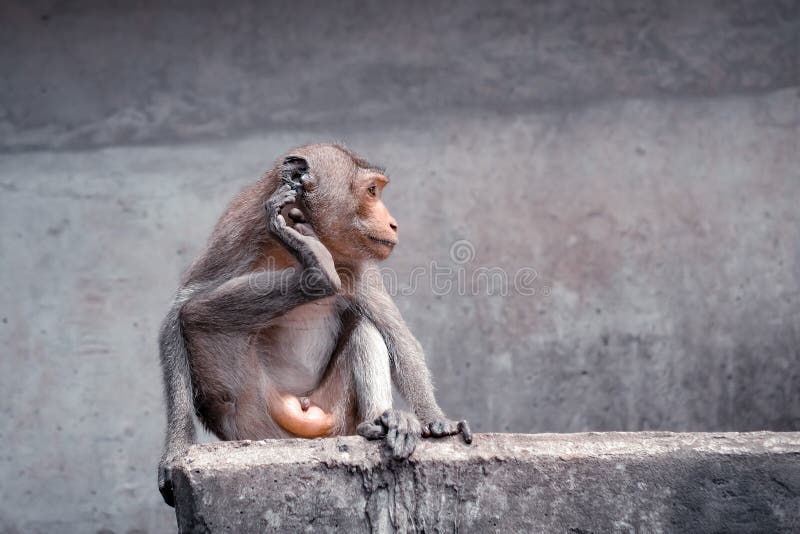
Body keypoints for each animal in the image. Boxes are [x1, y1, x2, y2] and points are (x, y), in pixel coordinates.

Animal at [157, 143, 471, 507]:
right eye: (372, 191)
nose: (393, 224)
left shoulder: (357, 263)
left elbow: (398, 337)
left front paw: (435, 420)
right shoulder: (240, 228)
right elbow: (177, 310)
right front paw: (175, 452)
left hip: (338, 414)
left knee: (364, 328)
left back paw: (381, 422)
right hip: (251, 416)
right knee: (194, 313)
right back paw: (316, 270)